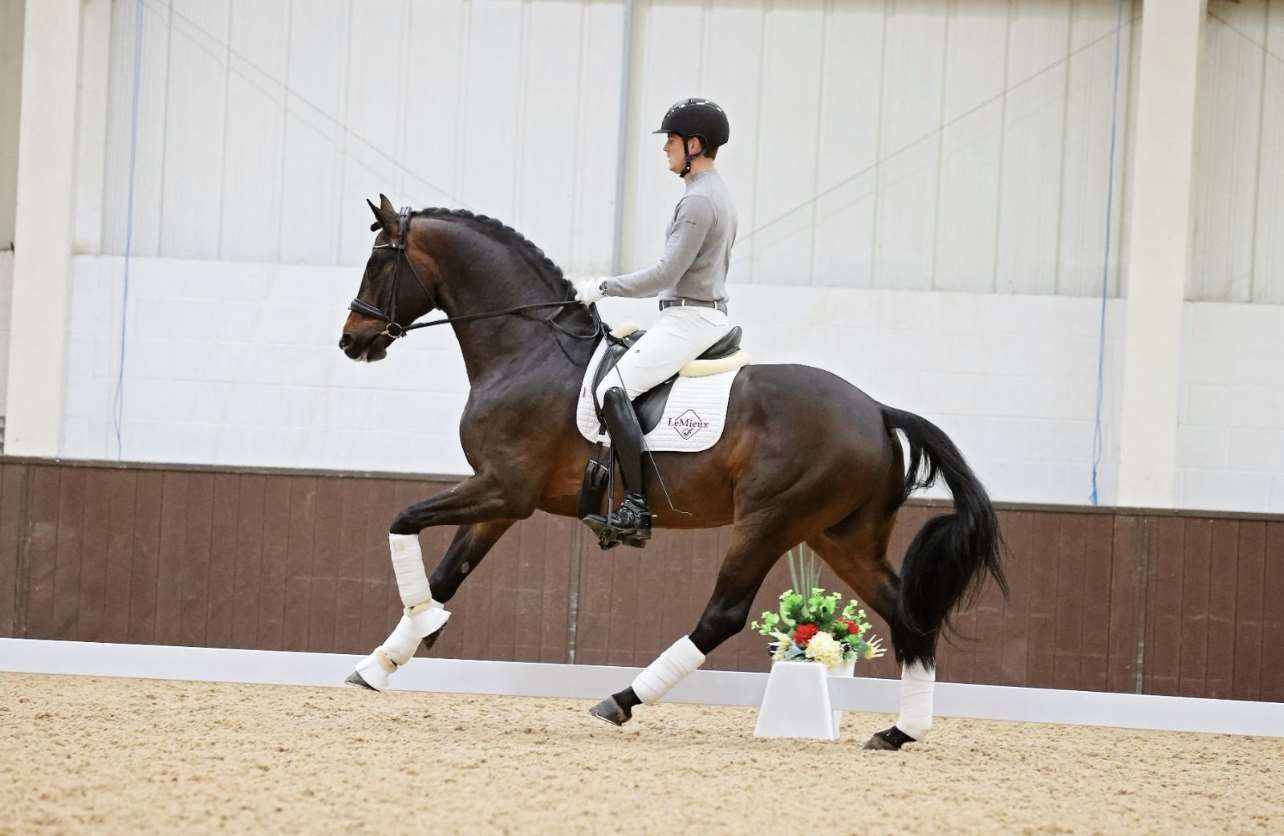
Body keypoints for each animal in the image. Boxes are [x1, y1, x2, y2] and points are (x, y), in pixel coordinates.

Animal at [339, 195, 1006, 750]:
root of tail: (877, 410)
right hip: (840, 536)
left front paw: (421, 624)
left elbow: (402, 520)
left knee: (723, 616)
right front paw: (383, 660)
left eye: (377, 263)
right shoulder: (500, 499)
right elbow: (448, 572)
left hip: (768, 521)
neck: (526, 350)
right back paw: (901, 732)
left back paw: (622, 699)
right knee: (907, 616)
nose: (351, 341)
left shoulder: (504, 489)